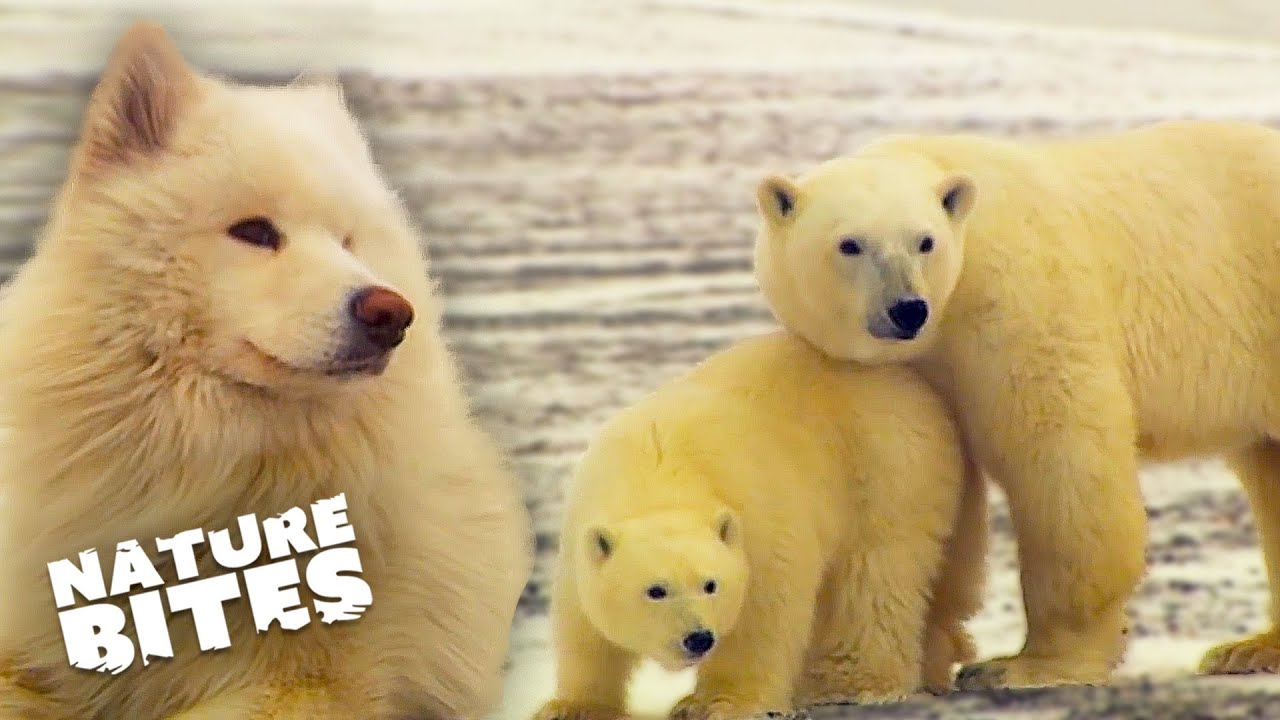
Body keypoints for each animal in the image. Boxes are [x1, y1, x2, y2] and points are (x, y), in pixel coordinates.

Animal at [533, 331, 987, 720]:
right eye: (655, 590)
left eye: (710, 584)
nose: (698, 638)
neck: (659, 471)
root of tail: (912, 381)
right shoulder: (582, 531)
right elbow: (584, 629)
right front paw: (569, 707)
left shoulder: (757, 516)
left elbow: (763, 614)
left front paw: (720, 703)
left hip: (888, 471)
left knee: (874, 578)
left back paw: (848, 681)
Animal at [750, 119, 1280, 689]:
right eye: (850, 244)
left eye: (924, 241)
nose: (908, 309)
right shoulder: (917, 375)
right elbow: (938, 482)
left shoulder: (1014, 296)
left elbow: (1057, 450)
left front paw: (1022, 665)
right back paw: (1250, 648)